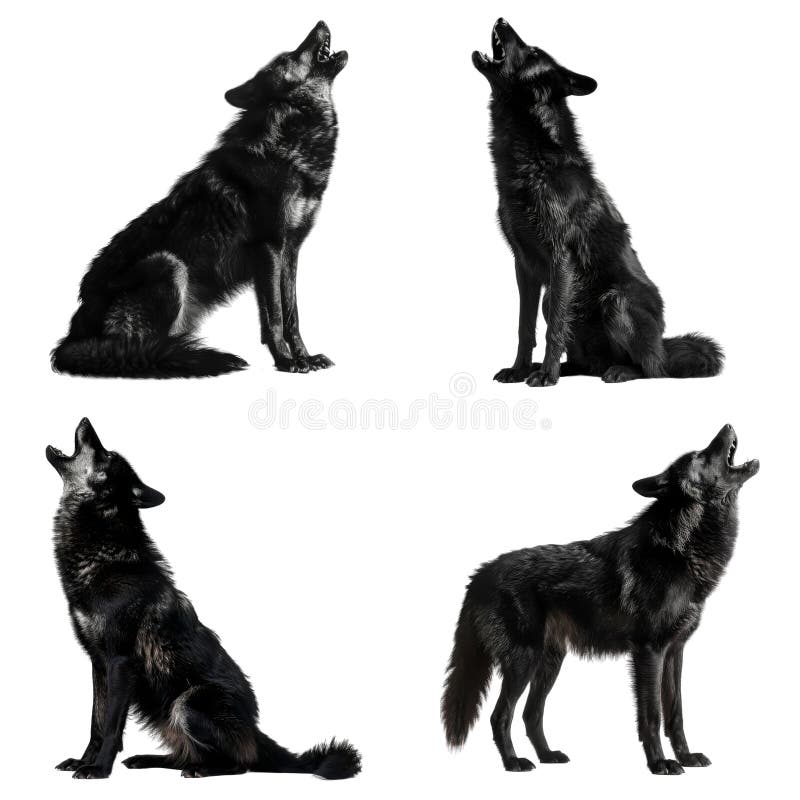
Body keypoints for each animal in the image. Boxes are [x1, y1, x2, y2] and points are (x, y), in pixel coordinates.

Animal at [47, 419, 361, 779]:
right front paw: (83, 760)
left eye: (107, 454)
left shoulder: (119, 663)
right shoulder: (98, 663)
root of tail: (255, 732)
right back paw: (151, 760)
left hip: (188, 703)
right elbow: (95, 724)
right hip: (168, 712)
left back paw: (201, 771)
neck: (106, 552)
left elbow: (111, 726)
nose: (86, 421)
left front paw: (98, 769)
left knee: (239, 764)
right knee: (186, 754)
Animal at [51, 21, 347, 378]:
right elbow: (274, 316)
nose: (320, 22)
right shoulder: (268, 249)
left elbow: (291, 314)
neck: (290, 144)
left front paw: (305, 356)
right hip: (168, 264)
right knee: (137, 350)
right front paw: (286, 361)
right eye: (285, 57)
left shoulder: (290, 250)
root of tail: (74, 334)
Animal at [442, 425, 758, 774]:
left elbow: (676, 714)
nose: (727, 425)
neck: (680, 548)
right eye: (699, 456)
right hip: (524, 661)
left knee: (530, 714)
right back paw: (514, 762)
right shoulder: (649, 651)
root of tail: (480, 573)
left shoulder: (675, 651)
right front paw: (660, 763)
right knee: (501, 715)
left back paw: (547, 756)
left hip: (549, 663)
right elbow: (652, 715)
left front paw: (686, 757)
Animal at [473, 19, 723, 386]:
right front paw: (520, 370)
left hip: (615, 301)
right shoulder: (524, 265)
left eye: (532, 52)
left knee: (654, 370)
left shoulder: (560, 258)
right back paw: (565, 368)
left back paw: (618, 370)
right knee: (584, 359)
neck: (534, 163)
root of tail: (664, 346)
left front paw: (545, 377)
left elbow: (553, 329)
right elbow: (525, 327)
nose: (502, 19)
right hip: (560, 301)